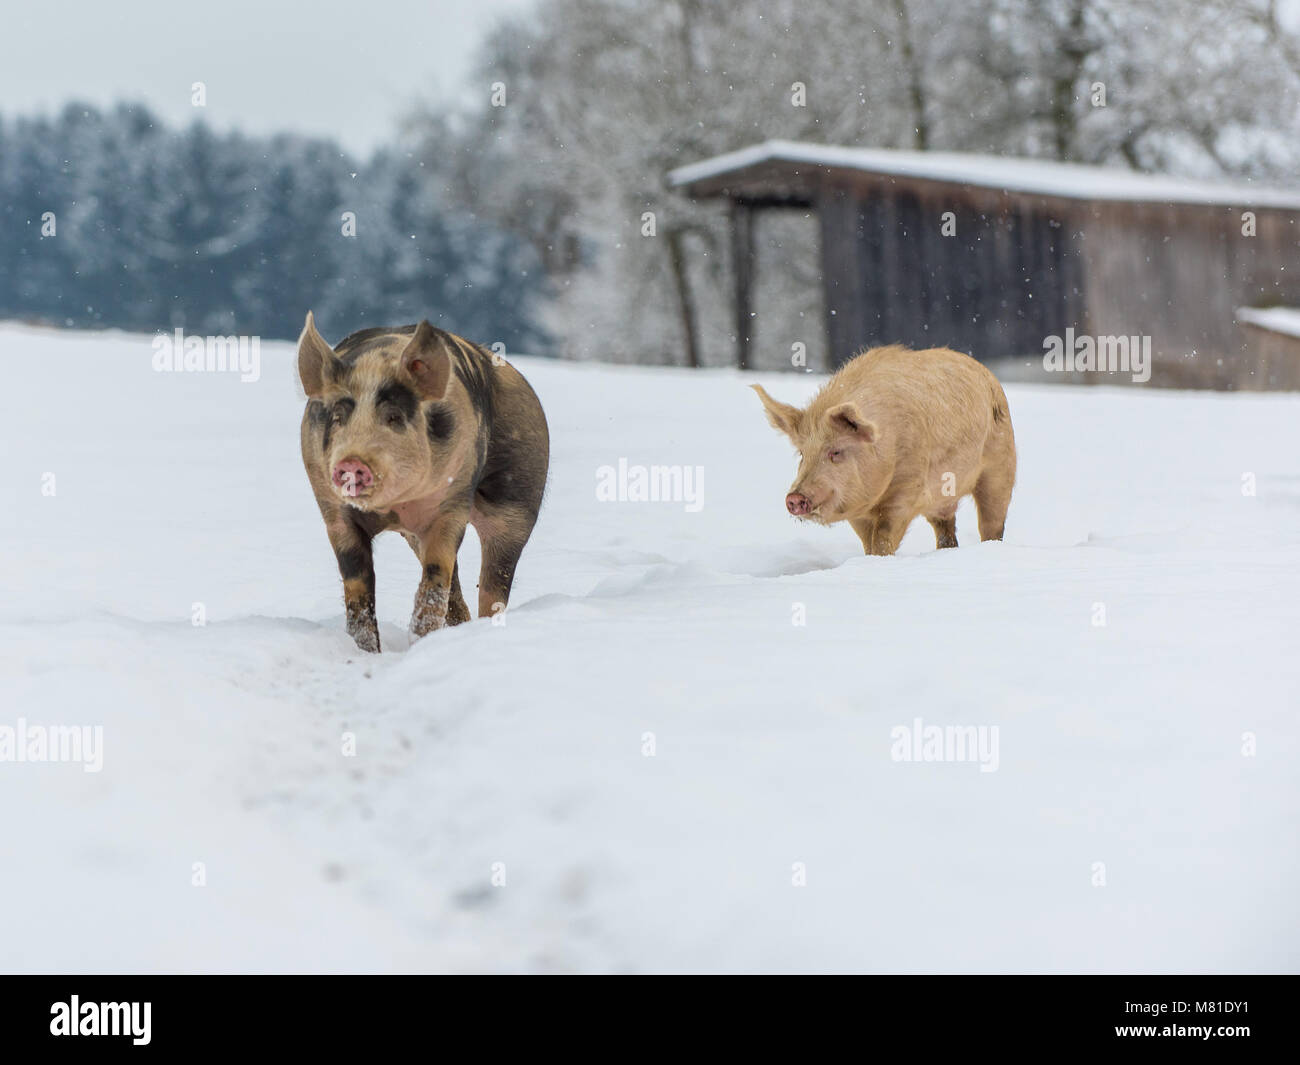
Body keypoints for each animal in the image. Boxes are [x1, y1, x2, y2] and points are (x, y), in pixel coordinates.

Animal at [298, 313, 549, 652]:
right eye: (337, 418)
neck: (392, 509)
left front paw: (418, 641)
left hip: (520, 495)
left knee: (494, 580)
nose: (351, 462)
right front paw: (366, 652)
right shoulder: (333, 512)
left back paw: (483, 630)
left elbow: (435, 577)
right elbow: (358, 591)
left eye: (393, 417)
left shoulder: (451, 505)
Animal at [752, 344, 1015, 556]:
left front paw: (880, 560)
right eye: (802, 454)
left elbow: (883, 536)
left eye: (835, 452)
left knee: (992, 521)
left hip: (1001, 465)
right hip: (944, 500)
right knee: (945, 526)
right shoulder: (857, 511)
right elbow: (867, 542)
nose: (794, 497)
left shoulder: (907, 488)